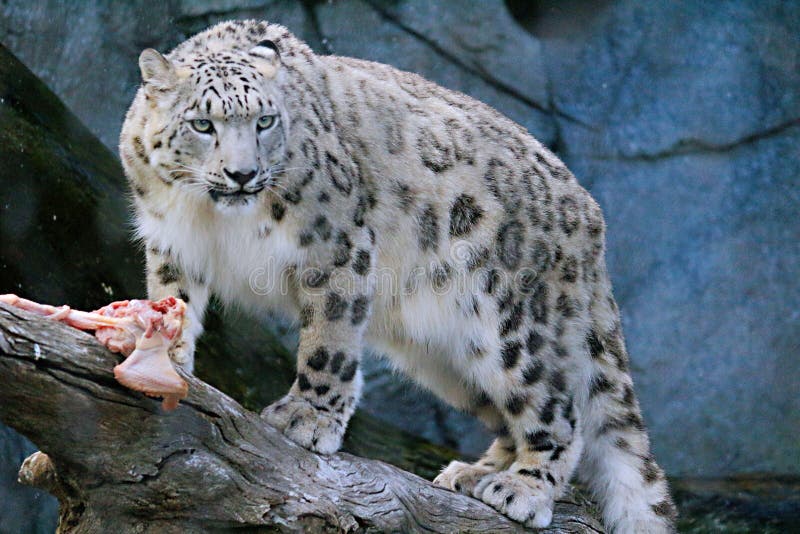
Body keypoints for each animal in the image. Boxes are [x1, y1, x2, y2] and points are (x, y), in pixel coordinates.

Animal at [119, 19, 676, 532]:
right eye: (202, 124)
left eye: (265, 121)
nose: (242, 174)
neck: (208, 216)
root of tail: (589, 214)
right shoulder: (173, 242)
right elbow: (174, 298)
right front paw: (167, 358)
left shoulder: (337, 242)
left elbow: (329, 342)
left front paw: (307, 418)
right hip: (451, 357)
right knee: (506, 411)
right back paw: (473, 474)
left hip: (516, 325)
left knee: (558, 407)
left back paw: (522, 489)